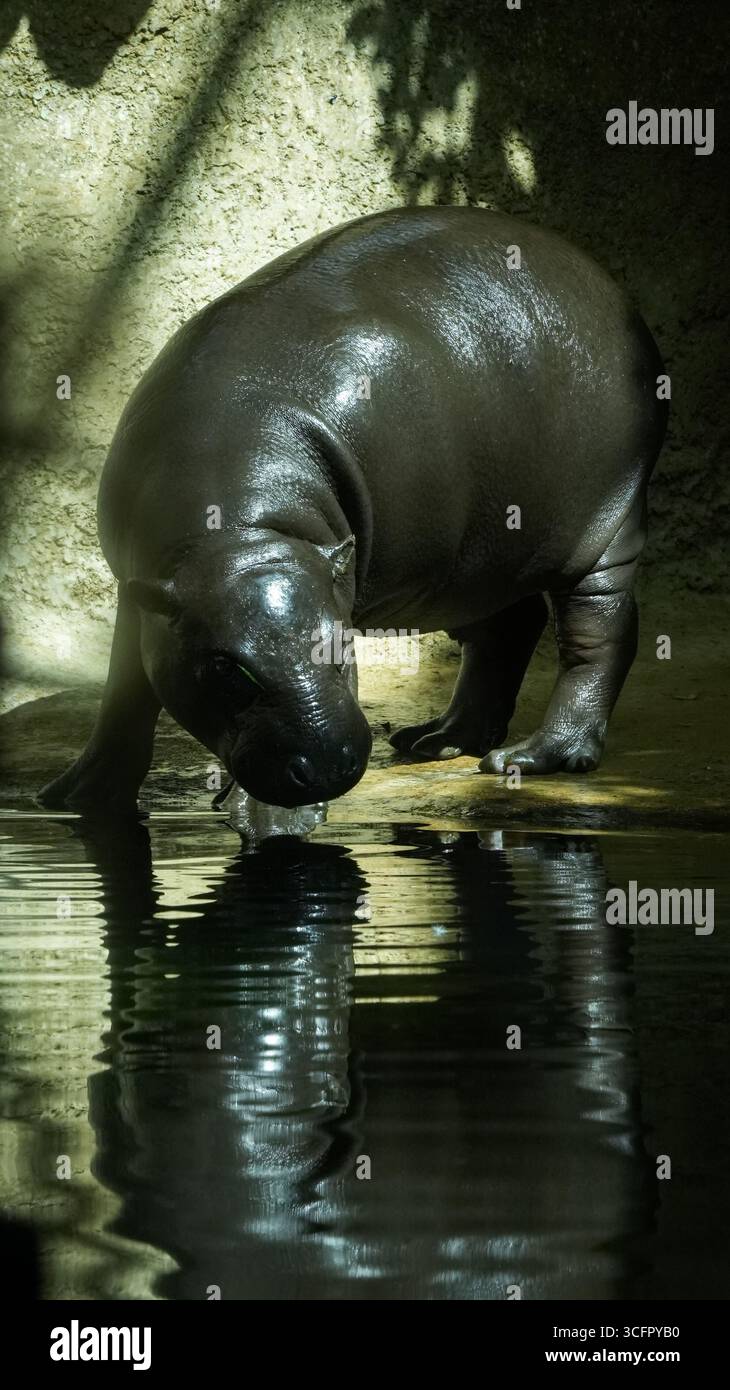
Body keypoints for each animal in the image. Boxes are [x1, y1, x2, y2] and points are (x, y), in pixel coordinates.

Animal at [39, 207, 667, 814]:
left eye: (342, 648)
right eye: (225, 668)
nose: (327, 768)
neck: (240, 534)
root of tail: (610, 287)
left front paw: (261, 814)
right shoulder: (143, 595)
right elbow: (123, 694)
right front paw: (71, 798)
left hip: (603, 524)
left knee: (597, 637)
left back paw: (535, 757)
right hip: (477, 558)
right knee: (506, 630)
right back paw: (437, 741)